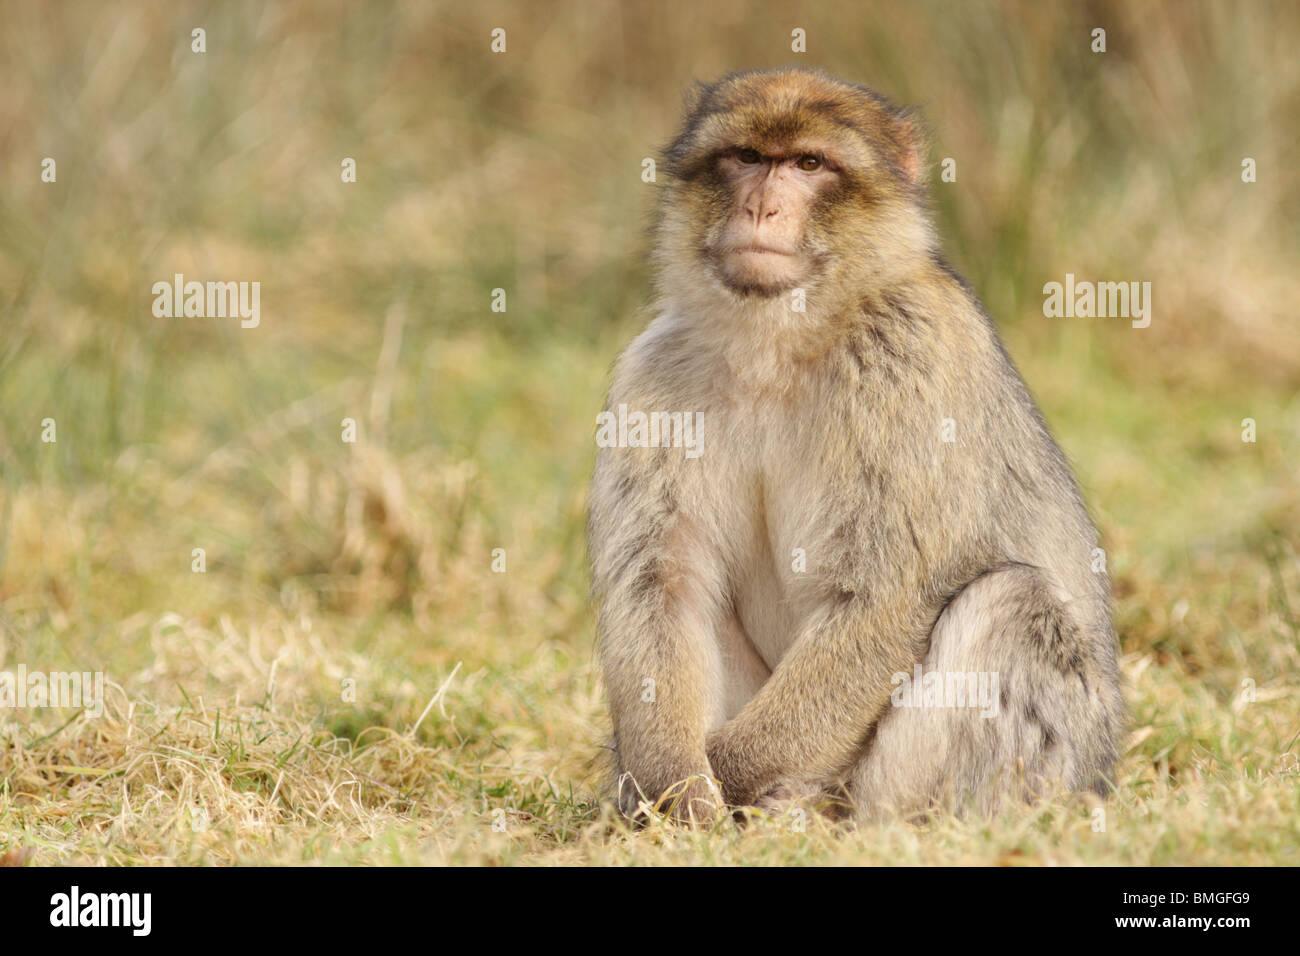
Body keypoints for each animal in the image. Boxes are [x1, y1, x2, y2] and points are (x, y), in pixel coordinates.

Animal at [588, 68, 1124, 825]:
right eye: (746, 158)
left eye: (809, 164)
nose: (760, 208)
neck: (779, 348)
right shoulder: (655, 377)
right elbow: (663, 582)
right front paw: (676, 792)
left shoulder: (911, 357)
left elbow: (884, 594)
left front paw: (727, 772)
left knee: (1014, 602)